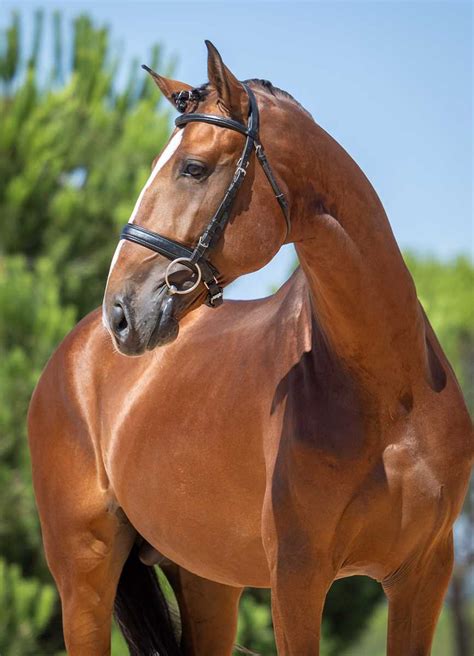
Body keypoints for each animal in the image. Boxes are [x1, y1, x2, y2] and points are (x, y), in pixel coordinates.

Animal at [28, 41, 473, 655]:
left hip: (207, 581)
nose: (120, 312)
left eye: (192, 168)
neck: (391, 392)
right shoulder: (297, 579)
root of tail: (72, 353)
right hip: (83, 575)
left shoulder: (423, 577)